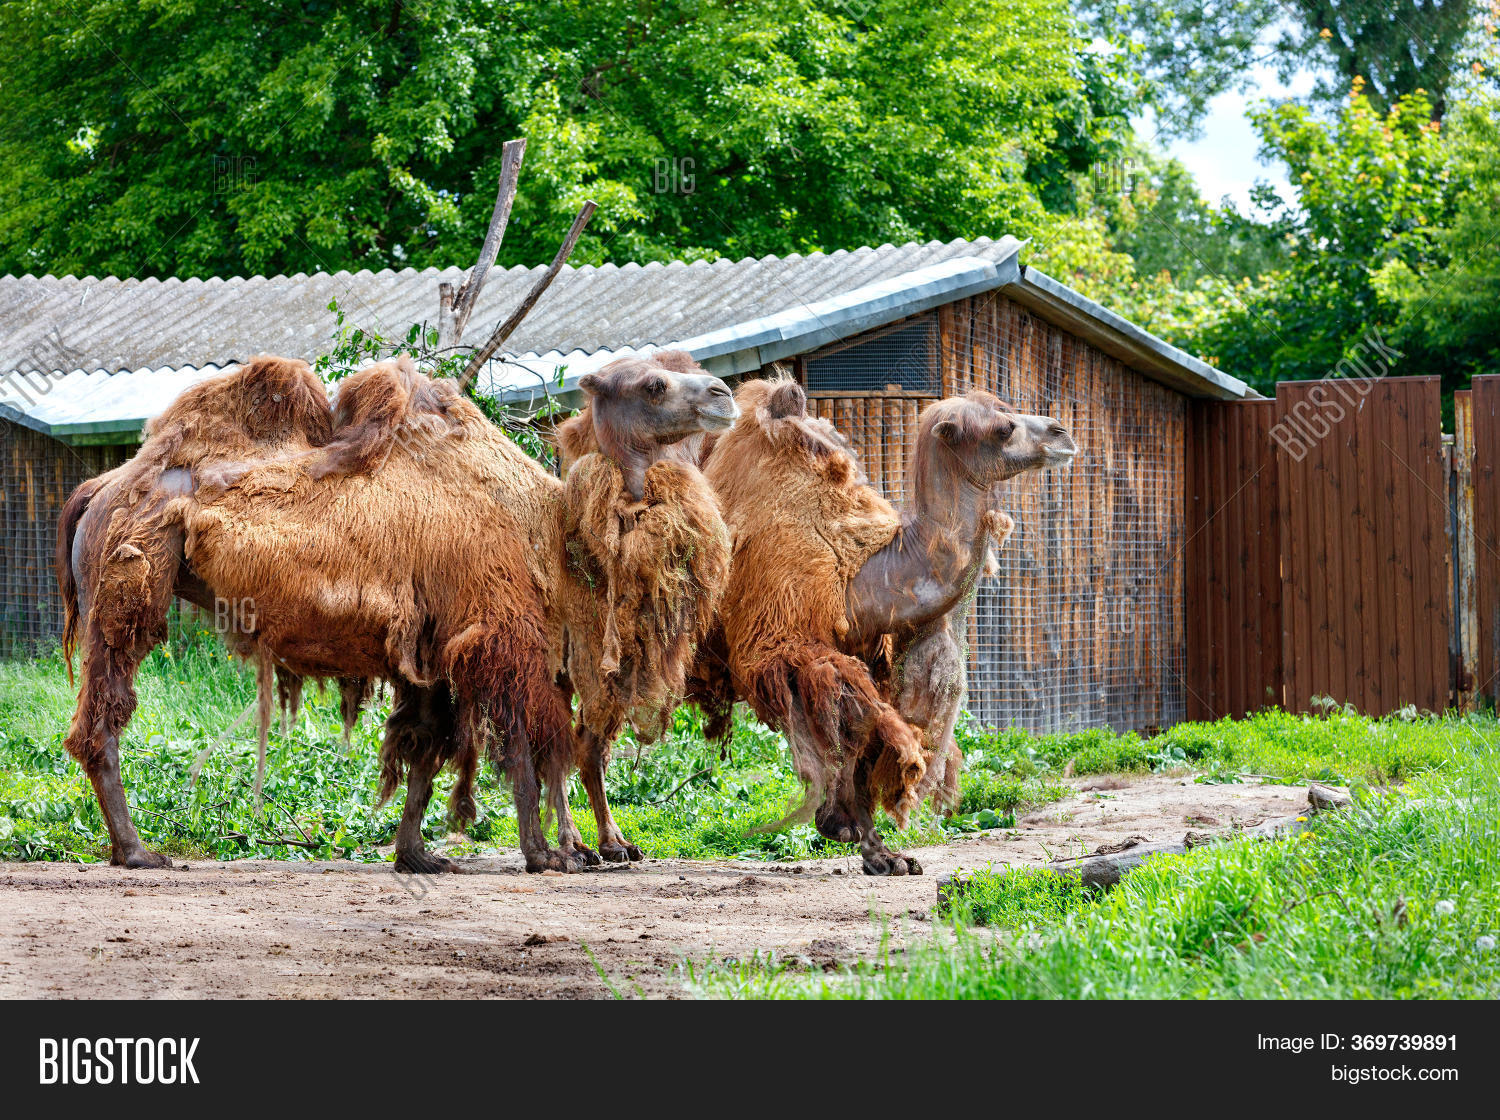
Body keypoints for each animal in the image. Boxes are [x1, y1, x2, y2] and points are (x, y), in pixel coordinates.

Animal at [56, 350, 736, 874]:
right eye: (653, 385)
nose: (723, 394)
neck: (549, 529)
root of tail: (100, 488)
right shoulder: (501, 633)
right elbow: (528, 744)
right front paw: (553, 854)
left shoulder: (434, 648)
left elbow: (425, 745)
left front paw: (418, 855)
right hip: (130, 580)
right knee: (104, 714)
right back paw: (138, 853)